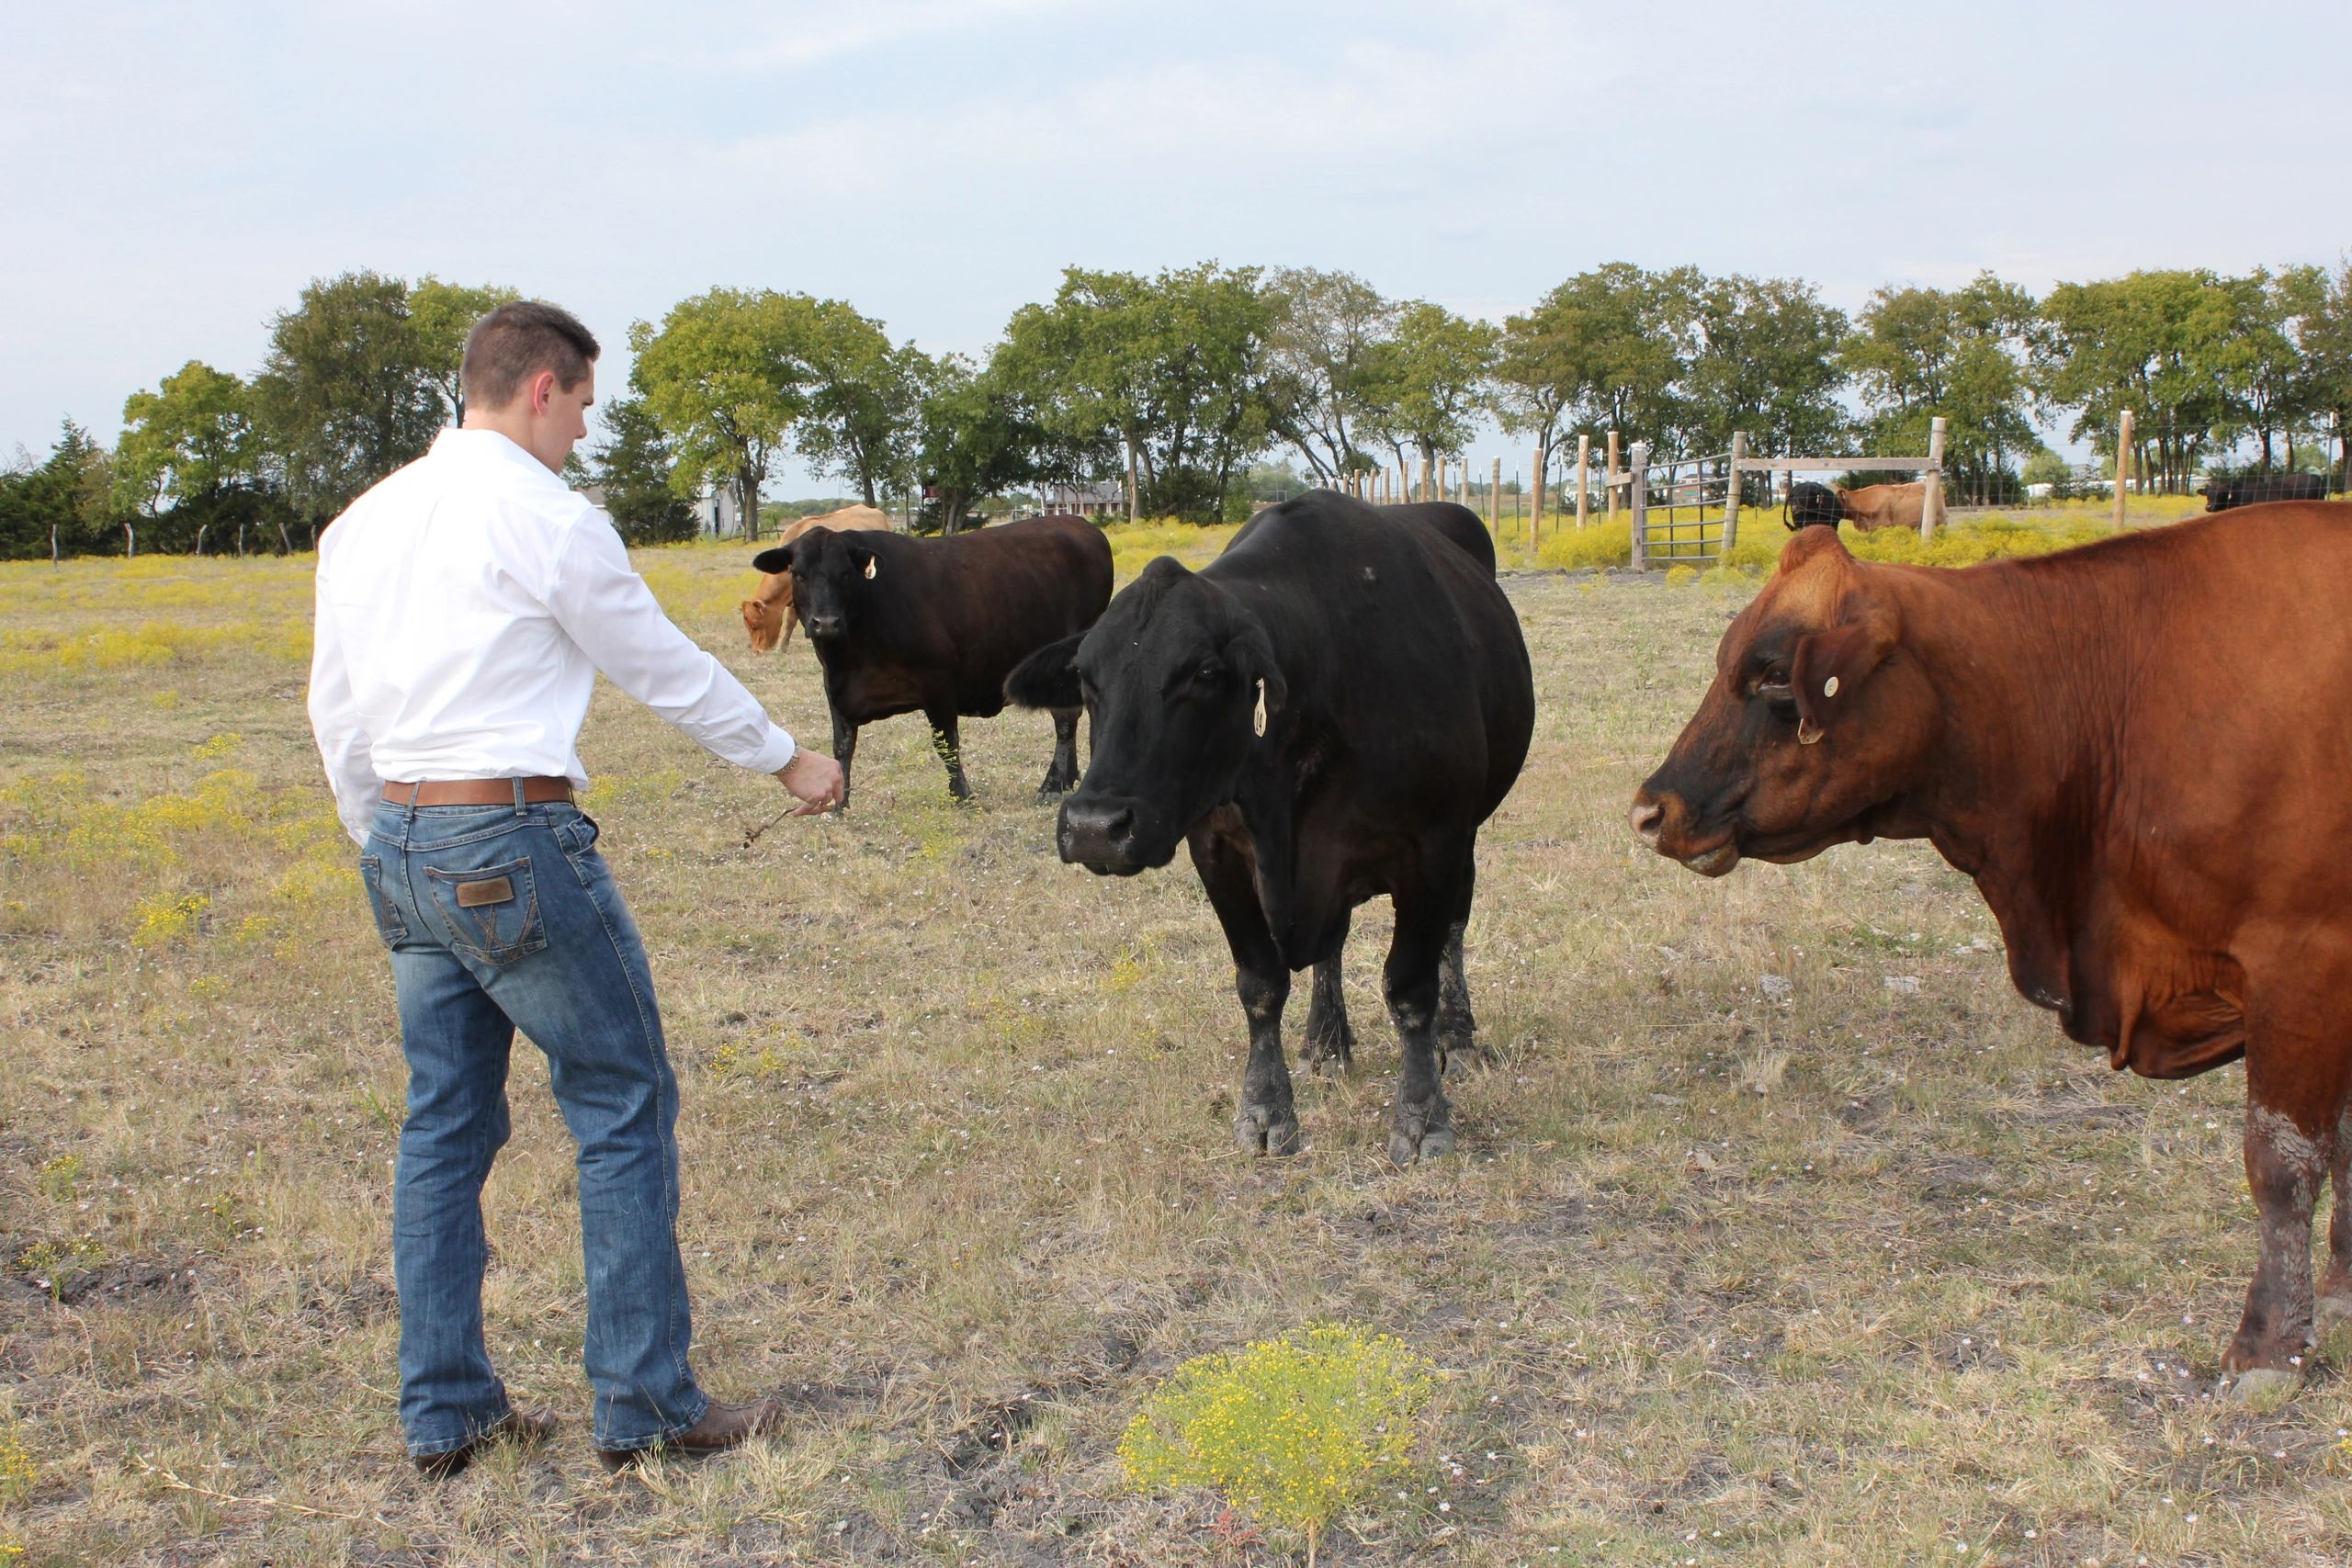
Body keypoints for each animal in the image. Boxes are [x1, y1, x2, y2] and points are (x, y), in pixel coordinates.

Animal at [750, 514, 1110, 808]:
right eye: (798, 574)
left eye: (845, 574)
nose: (826, 623)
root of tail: (1081, 525)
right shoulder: (836, 689)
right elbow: (843, 747)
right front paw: (838, 804)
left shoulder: (938, 682)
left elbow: (947, 743)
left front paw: (961, 795)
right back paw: (1070, 778)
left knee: (1066, 721)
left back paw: (1052, 786)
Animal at [1006, 491, 1535, 1164]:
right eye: (1085, 677)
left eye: (1204, 674)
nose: (1095, 825)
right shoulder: (1217, 845)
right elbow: (1259, 981)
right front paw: (1264, 1107)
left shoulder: (1434, 843)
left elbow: (1411, 985)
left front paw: (1421, 1116)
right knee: (1333, 945)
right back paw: (1325, 1042)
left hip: (1463, 840)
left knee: (1454, 933)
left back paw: (1456, 1037)